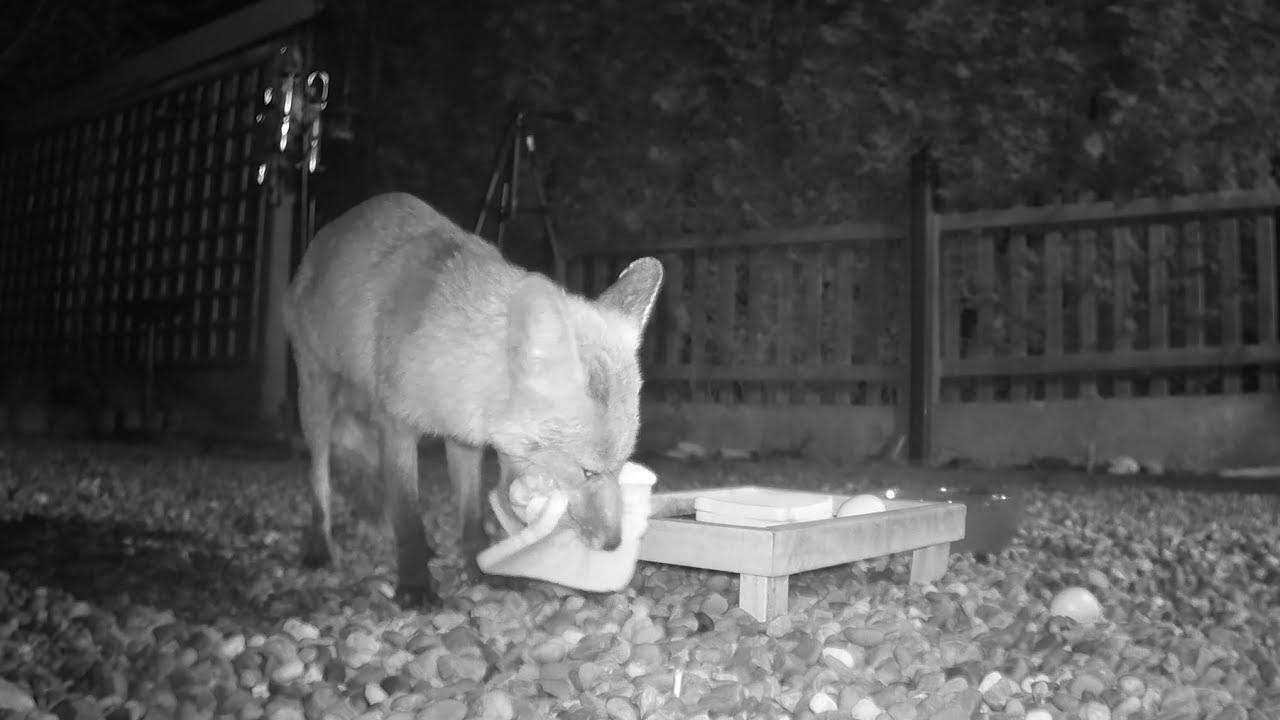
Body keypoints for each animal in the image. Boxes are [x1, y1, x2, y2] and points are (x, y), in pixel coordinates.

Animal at [280, 191, 664, 606]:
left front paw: (480, 570)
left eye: (621, 466)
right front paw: (414, 584)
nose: (614, 543)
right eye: (587, 471)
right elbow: (407, 516)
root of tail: (329, 232)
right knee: (320, 478)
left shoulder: (462, 438)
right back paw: (319, 546)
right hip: (315, 401)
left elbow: (470, 515)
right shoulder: (396, 426)